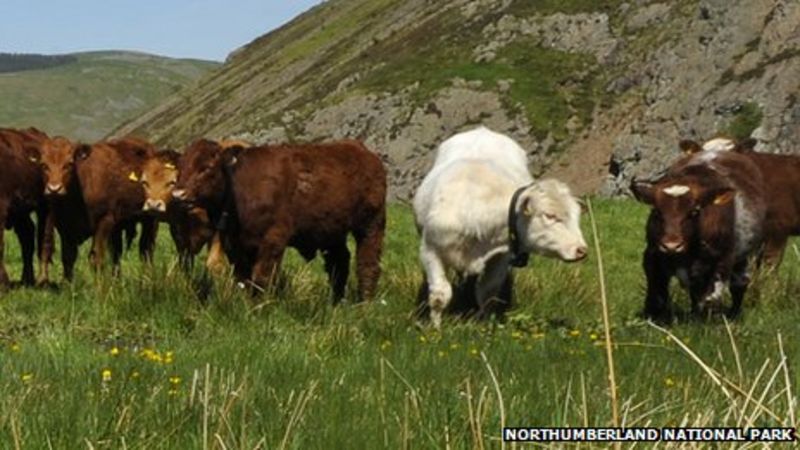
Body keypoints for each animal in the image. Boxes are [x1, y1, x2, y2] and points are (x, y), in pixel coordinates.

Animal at [0, 127, 50, 287]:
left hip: (46, 207)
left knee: (44, 240)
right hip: (19, 211)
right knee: (27, 236)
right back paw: (27, 279)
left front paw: (3, 284)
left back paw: (43, 280)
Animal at [37, 136, 159, 279]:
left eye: (69, 164)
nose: (54, 189)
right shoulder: (65, 228)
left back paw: (147, 277)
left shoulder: (104, 221)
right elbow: (68, 258)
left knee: (146, 249)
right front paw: (68, 283)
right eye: (44, 165)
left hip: (151, 221)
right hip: (118, 225)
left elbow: (96, 258)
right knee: (117, 252)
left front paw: (99, 284)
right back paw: (116, 279)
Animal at [172, 139, 386, 302]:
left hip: (372, 224)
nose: (178, 195)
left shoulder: (273, 239)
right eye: (180, 169)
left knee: (367, 265)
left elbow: (261, 279)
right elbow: (243, 280)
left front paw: (258, 309)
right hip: (331, 231)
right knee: (339, 263)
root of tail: (360, 148)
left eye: (206, 168)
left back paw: (364, 305)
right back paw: (335, 303)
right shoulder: (235, 247)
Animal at [413, 127, 588, 328]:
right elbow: (440, 295)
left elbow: (487, 293)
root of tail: (482, 130)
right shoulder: (430, 250)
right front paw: (435, 328)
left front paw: (485, 325)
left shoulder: (501, 257)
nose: (581, 250)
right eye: (550, 215)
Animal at [631, 144, 766, 322]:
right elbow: (657, 296)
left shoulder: (723, 260)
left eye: (694, 212)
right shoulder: (652, 256)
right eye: (657, 212)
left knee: (739, 284)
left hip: (745, 257)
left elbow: (710, 298)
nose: (671, 245)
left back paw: (732, 315)